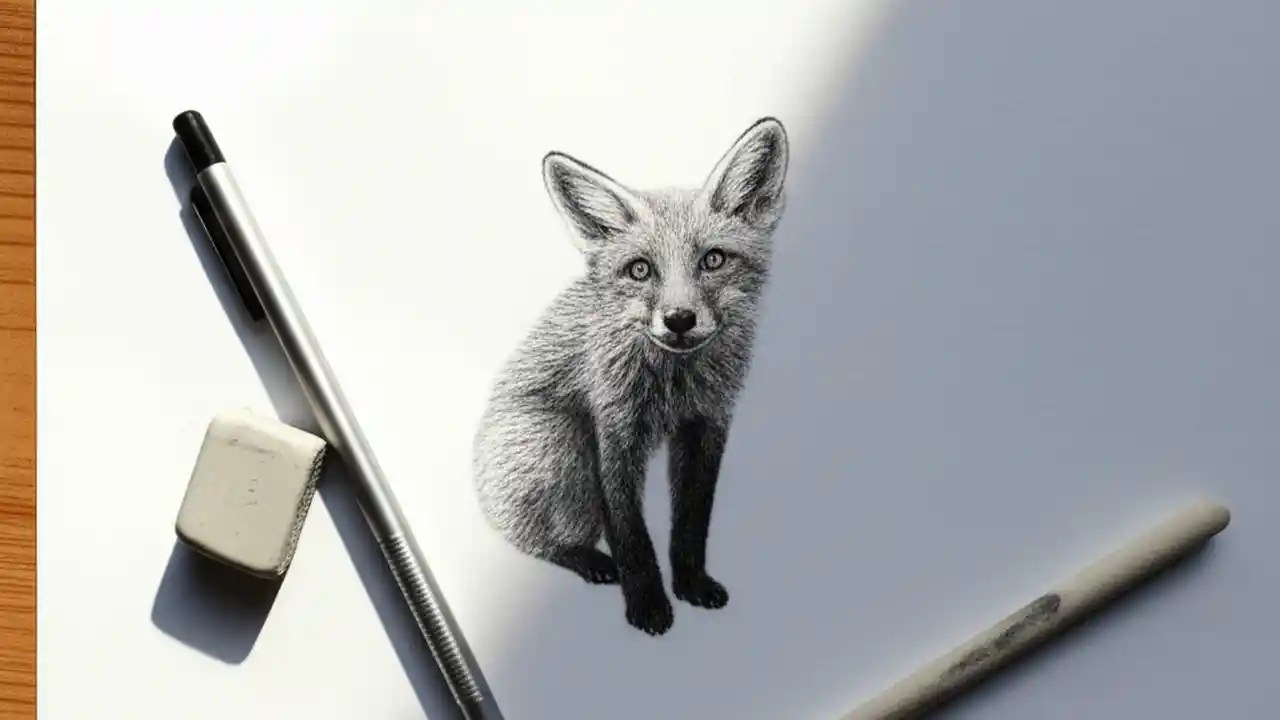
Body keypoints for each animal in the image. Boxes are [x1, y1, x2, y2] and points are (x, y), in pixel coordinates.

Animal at [473, 118, 789, 636]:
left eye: (714, 260)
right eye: (640, 270)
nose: (679, 320)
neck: (673, 388)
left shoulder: (707, 426)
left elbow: (692, 521)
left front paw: (691, 584)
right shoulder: (613, 431)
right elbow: (630, 534)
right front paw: (647, 606)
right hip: (561, 445)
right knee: (539, 540)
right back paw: (591, 561)